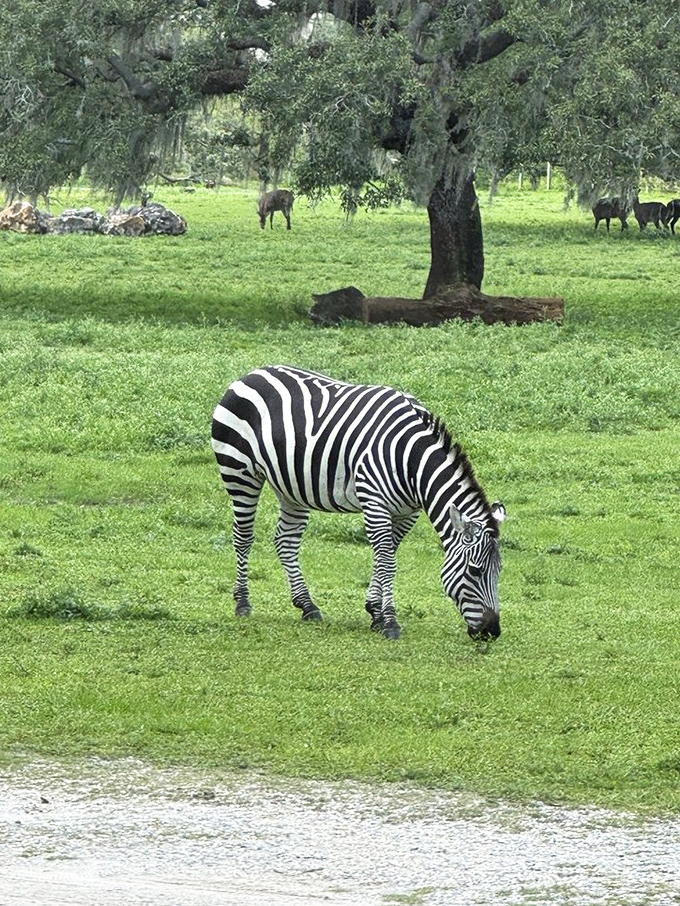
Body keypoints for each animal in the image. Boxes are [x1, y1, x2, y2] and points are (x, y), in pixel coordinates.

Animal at [211, 365, 506, 640]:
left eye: (499, 572)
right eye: (475, 571)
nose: (492, 631)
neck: (411, 461)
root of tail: (253, 373)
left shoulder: (407, 512)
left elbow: (386, 555)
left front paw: (375, 612)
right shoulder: (375, 502)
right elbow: (387, 562)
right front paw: (389, 622)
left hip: (291, 485)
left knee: (286, 541)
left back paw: (307, 605)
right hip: (239, 472)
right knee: (243, 536)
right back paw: (243, 602)